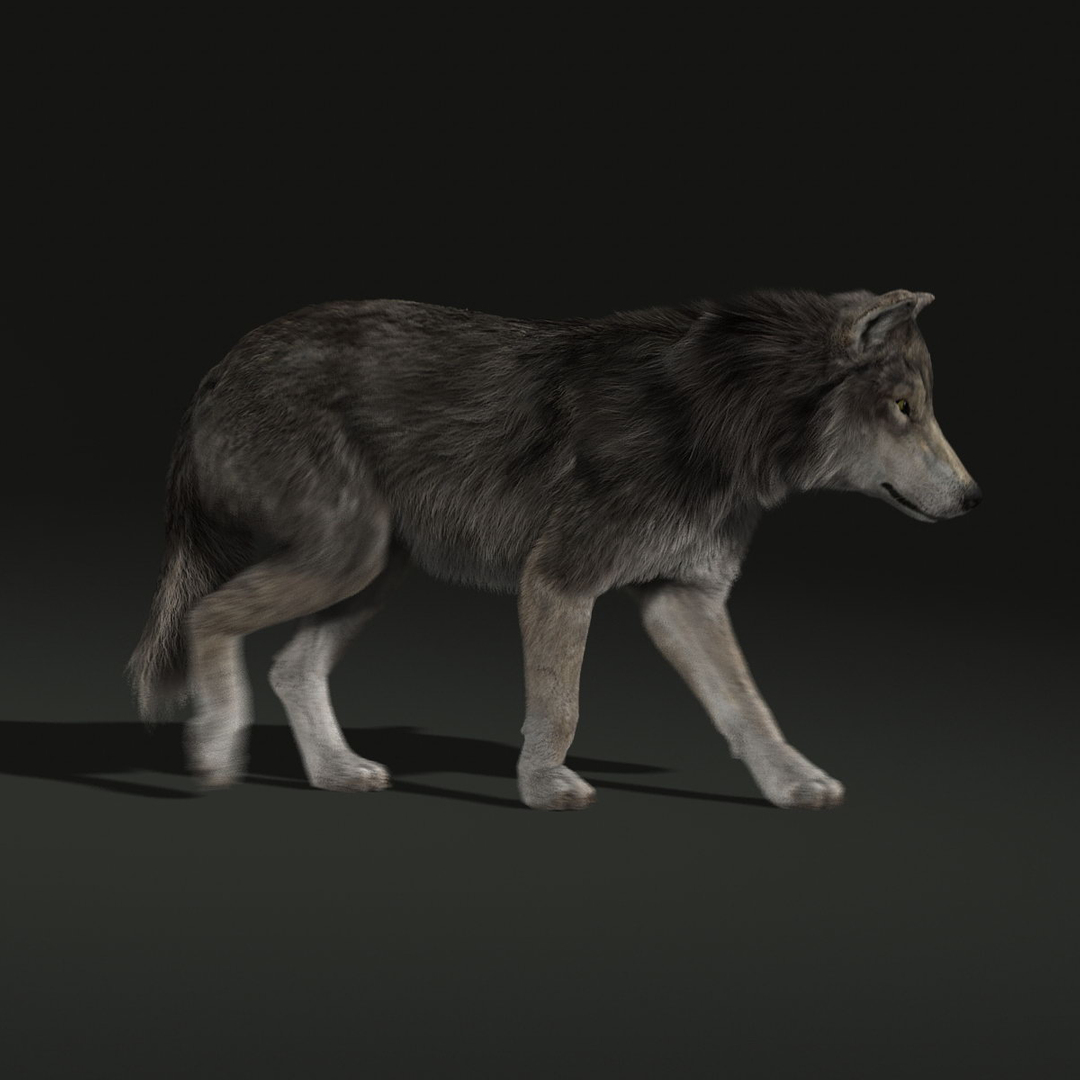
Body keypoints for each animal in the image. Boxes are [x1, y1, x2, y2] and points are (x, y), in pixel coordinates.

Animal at [127, 287, 980, 811]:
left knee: (290, 665)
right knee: (205, 616)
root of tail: (218, 370)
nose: (975, 499)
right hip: (347, 561)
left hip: (371, 572)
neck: (714, 416)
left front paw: (793, 783)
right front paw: (543, 786)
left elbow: (748, 708)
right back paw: (213, 750)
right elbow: (560, 705)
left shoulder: (683, 599)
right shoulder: (560, 580)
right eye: (904, 407)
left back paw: (336, 772)